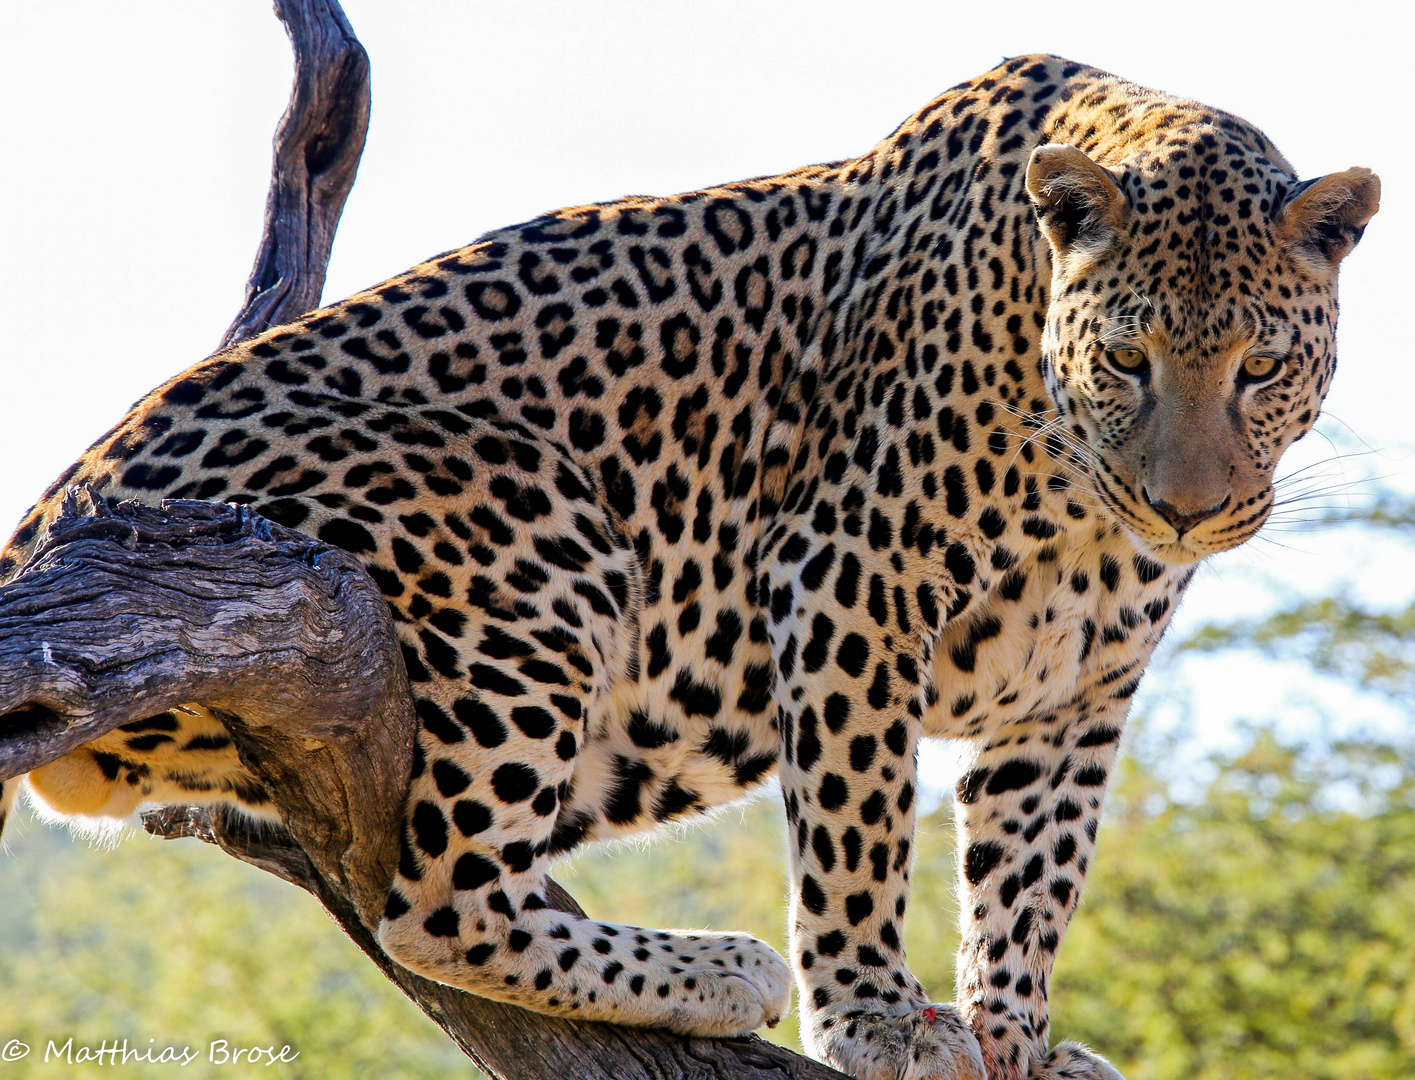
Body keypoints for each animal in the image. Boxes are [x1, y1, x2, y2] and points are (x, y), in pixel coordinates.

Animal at [0, 54, 1378, 1080]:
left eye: (1257, 366)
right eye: (1126, 361)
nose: (1185, 511)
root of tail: (47, 521)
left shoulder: (1076, 690)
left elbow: (1032, 876)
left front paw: (1020, 1042)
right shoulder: (851, 577)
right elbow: (859, 826)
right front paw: (875, 1019)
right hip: (520, 507)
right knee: (442, 904)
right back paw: (717, 970)